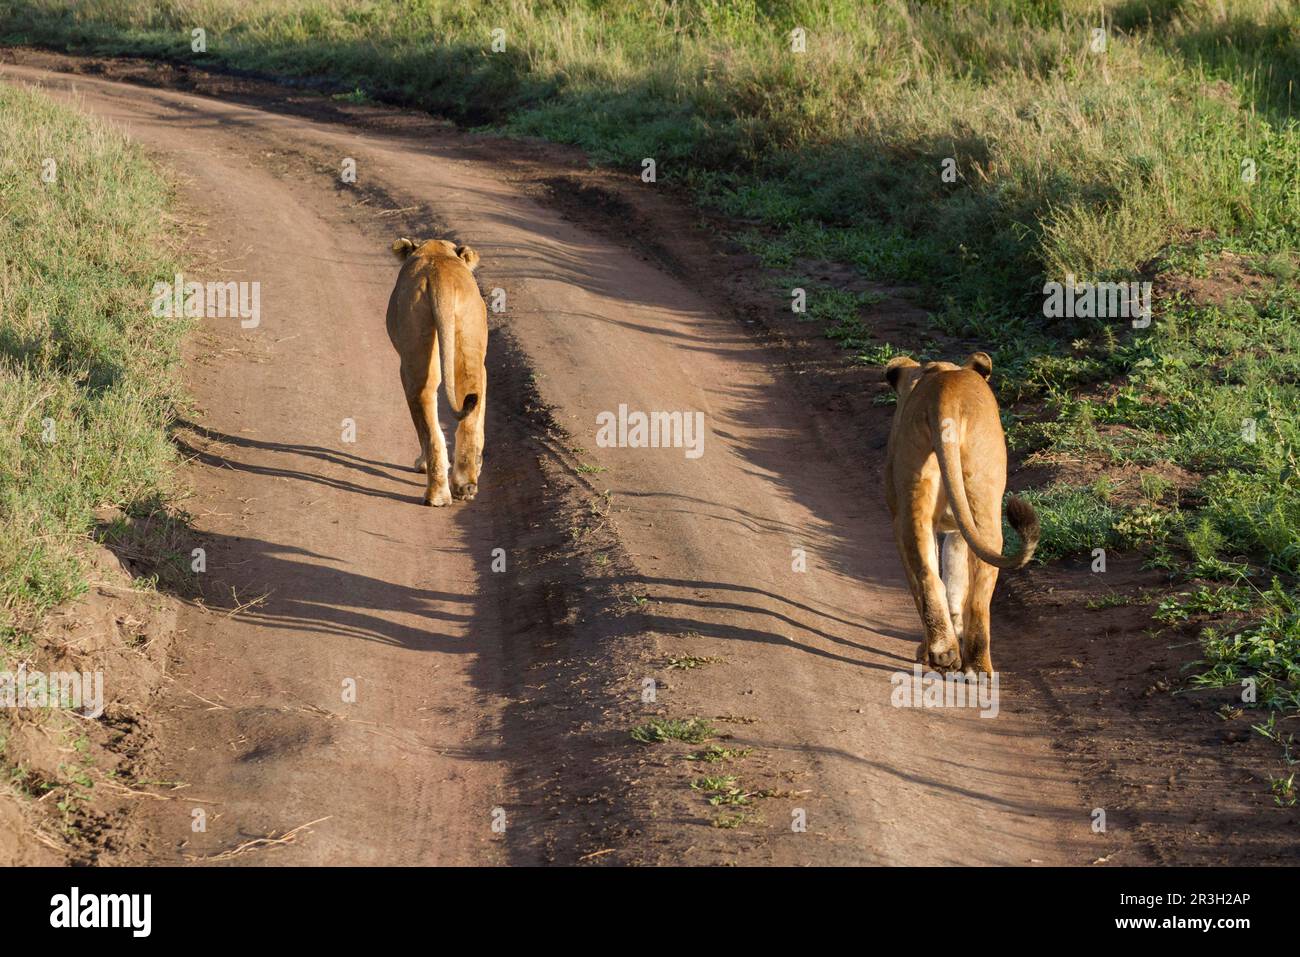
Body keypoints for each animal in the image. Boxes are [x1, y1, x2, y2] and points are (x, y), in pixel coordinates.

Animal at [386, 238, 487, 506]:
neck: (436, 251)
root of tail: (440, 276)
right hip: (469, 342)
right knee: (470, 404)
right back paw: (465, 485)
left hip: (414, 355)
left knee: (426, 412)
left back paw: (437, 494)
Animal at [882, 352, 1039, 676]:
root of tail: (947, 390)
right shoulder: (958, 530)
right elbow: (956, 583)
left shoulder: (897, 520)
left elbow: (930, 583)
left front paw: (926, 649)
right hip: (983, 498)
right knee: (979, 594)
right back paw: (976, 666)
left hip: (911, 506)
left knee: (927, 577)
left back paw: (942, 653)